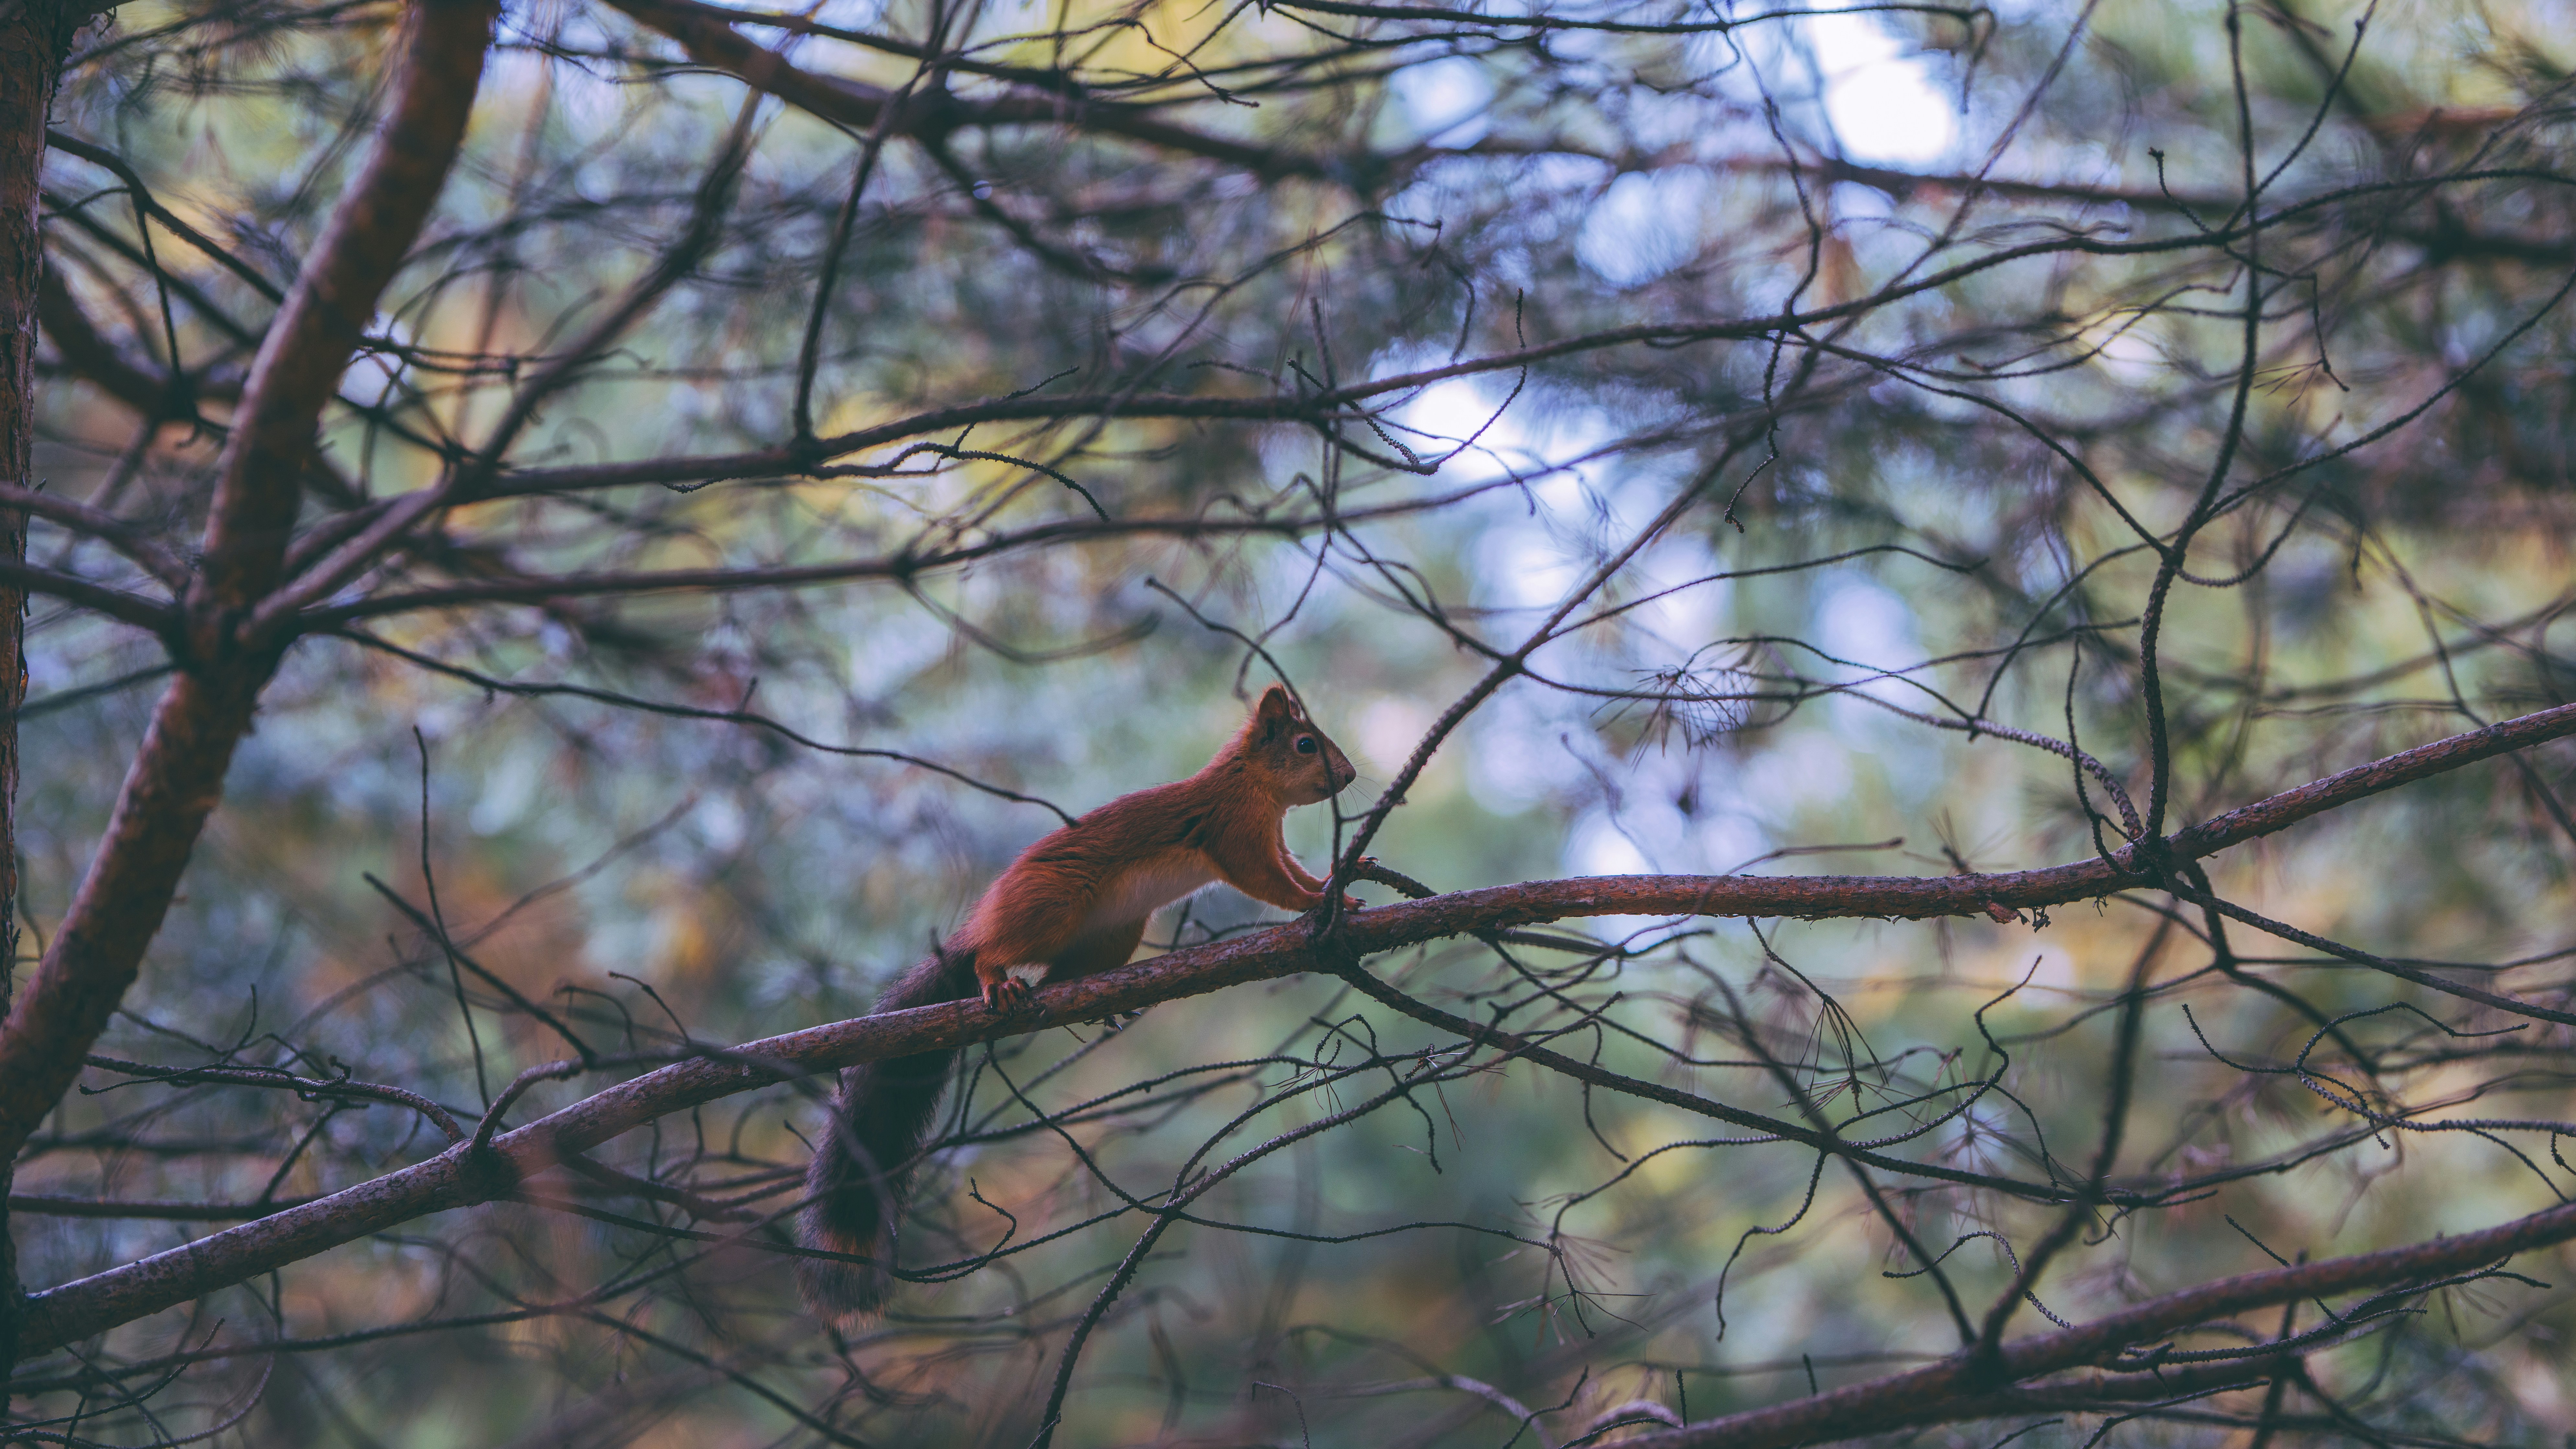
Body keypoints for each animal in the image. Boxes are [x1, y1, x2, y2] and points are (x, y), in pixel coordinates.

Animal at [795, 683, 1359, 1327]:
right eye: (1305, 744)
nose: (1350, 775)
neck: (1252, 782)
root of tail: (988, 917)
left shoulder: (1271, 838)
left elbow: (1293, 871)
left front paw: (1339, 880)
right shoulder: (1235, 831)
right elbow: (1273, 883)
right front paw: (1318, 899)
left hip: (1116, 930)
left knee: (1060, 975)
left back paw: (1094, 1000)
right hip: (1051, 905)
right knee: (993, 953)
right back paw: (997, 978)